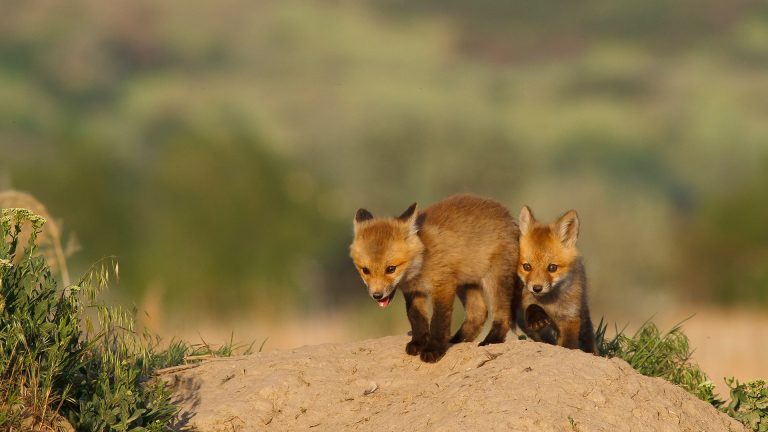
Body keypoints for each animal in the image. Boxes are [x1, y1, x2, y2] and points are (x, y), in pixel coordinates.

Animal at [349, 195, 520, 363]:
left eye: (390, 269)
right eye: (365, 270)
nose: (377, 295)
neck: (421, 263)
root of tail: (507, 214)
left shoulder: (443, 285)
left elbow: (438, 321)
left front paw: (433, 349)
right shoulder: (413, 291)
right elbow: (416, 318)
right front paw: (418, 342)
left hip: (493, 279)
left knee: (502, 315)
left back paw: (491, 340)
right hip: (466, 283)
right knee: (478, 313)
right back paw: (456, 340)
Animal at [515, 206, 596, 354]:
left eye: (552, 268)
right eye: (527, 267)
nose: (537, 288)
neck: (549, 305)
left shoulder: (570, 317)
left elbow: (568, 343)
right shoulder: (525, 316)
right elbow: (531, 307)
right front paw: (537, 317)